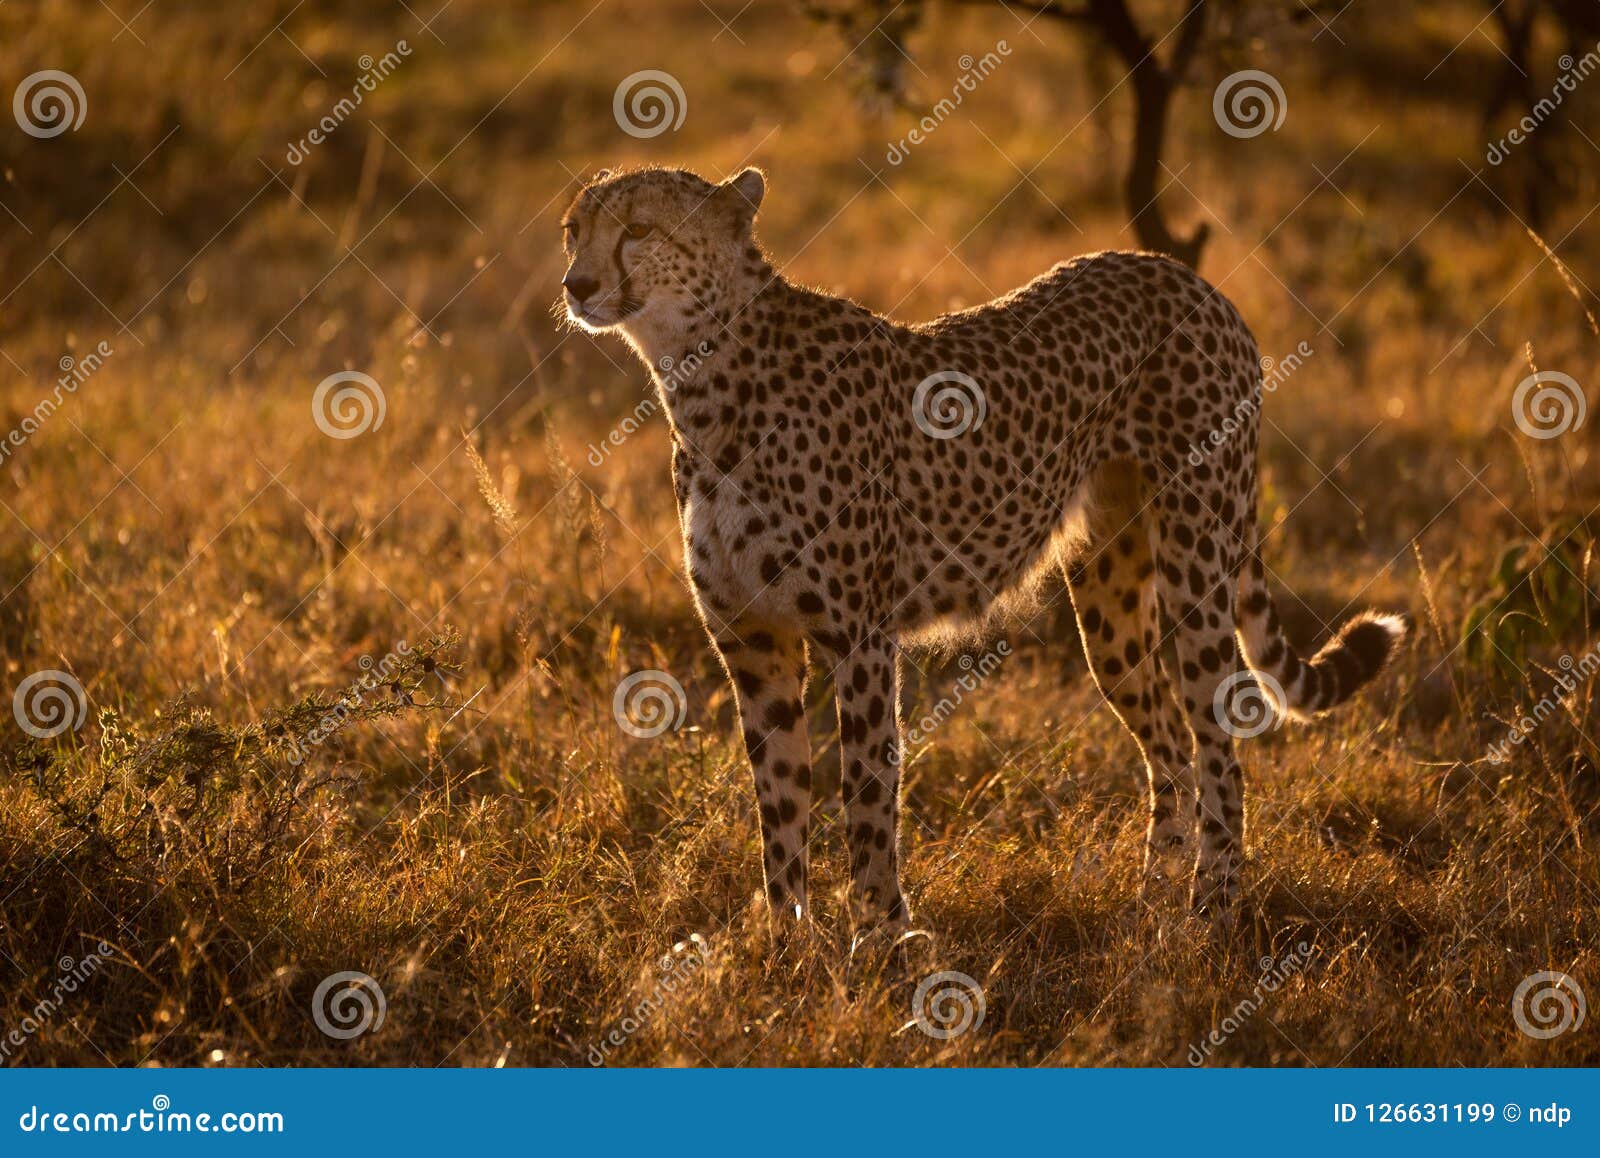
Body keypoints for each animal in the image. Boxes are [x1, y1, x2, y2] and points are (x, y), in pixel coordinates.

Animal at [559, 164, 1407, 931]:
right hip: (1108, 599)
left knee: (1220, 737)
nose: (576, 284)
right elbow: (781, 809)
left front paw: (882, 945)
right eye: (574, 229)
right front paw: (785, 954)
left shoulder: (860, 641)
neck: (705, 385)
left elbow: (868, 801)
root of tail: (1181, 275)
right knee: (1167, 738)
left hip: (1198, 560)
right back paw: (1152, 905)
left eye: (640, 230)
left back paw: (1213, 912)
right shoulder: (753, 643)